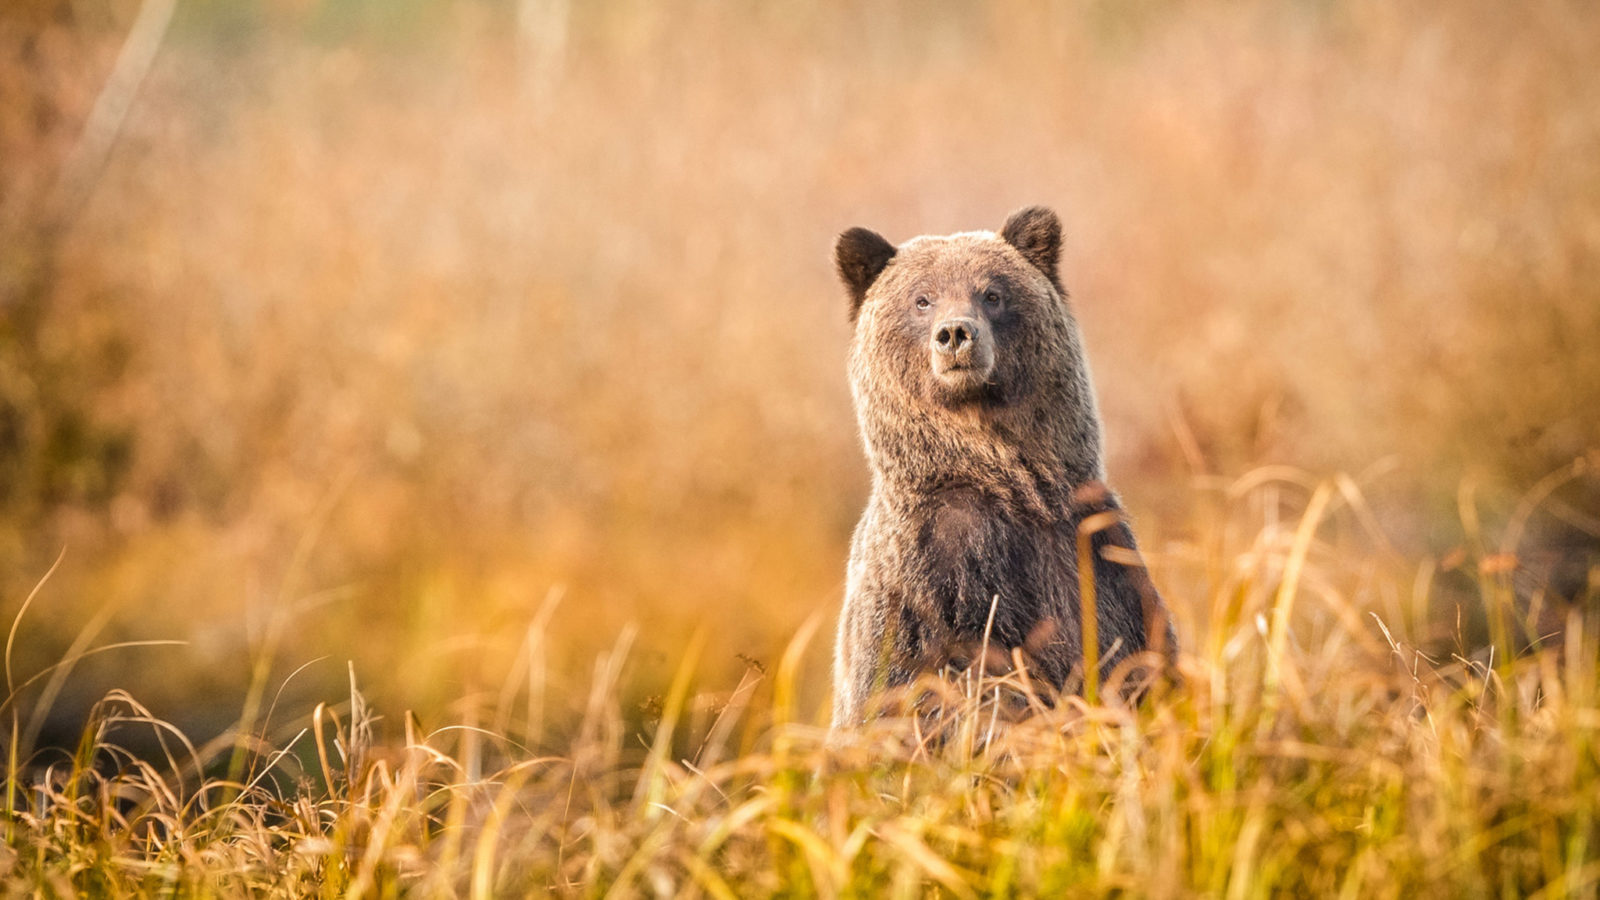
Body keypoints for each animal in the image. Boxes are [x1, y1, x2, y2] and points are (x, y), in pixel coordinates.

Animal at [830, 206, 1177, 728]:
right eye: (922, 300)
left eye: (992, 294)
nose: (956, 333)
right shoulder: (933, 573)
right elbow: (940, 690)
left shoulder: (1092, 549)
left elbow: (1131, 654)